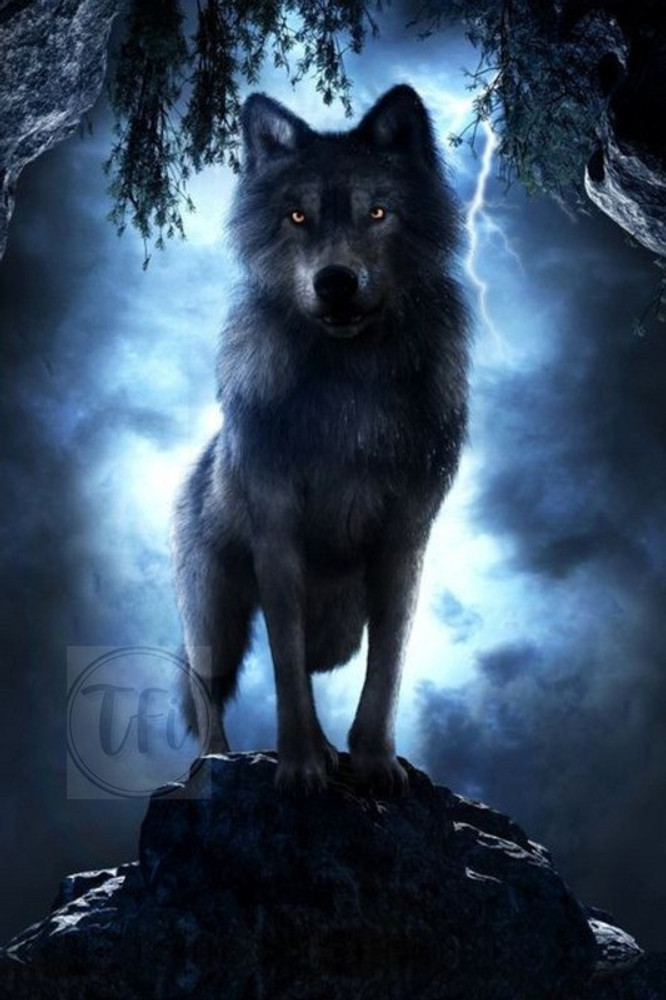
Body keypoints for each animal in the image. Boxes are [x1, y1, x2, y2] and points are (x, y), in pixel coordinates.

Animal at [173, 84, 469, 793]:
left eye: (378, 212)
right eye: (298, 216)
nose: (335, 281)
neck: (349, 388)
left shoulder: (405, 540)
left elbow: (386, 668)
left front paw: (375, 764)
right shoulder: (277, 535)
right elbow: (284, 667)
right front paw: (301, 766)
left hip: (337, 620)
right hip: (215, 617)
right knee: (208, 690)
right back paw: (214, 763)